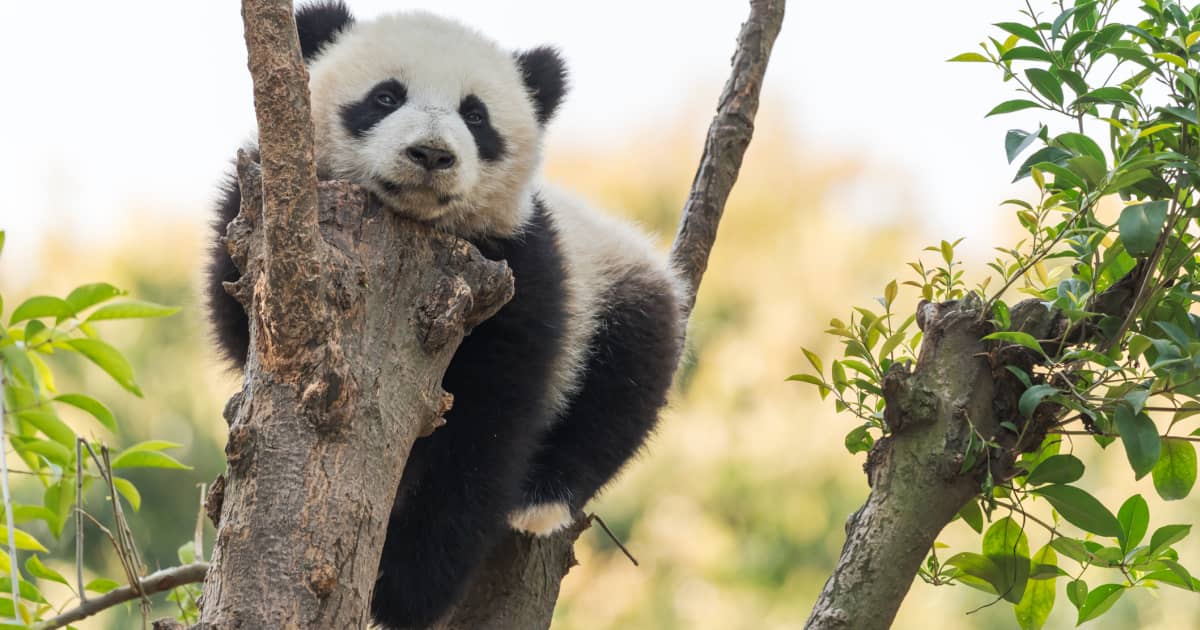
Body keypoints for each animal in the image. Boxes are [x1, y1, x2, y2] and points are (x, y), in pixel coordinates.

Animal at [205, 2, 684, 628]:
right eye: (386, 97)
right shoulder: (257, 222)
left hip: (613, 281)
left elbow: (486, 427)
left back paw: (541, 498)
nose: (432, 154)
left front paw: (400, 591)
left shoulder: (520, 269)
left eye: (475, 115)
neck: (415, 226)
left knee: (624, 380)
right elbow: (236, 312)